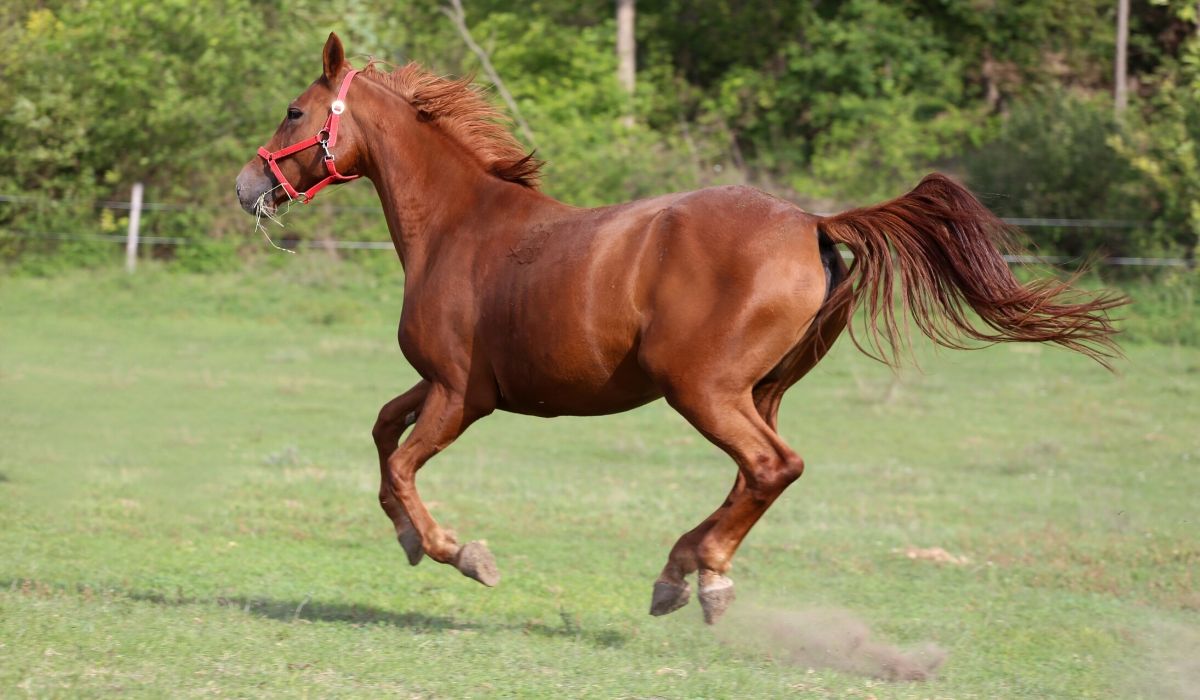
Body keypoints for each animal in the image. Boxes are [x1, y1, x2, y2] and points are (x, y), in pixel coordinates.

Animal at [236, 33, 1125, 624]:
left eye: (294, 110)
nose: (247, 186)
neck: (461, 225)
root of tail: (812, 222)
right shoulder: (441, 385)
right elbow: (382, 433)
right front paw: (412, 541)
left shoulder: (462, 395)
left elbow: (400, 464)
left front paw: (461, 553)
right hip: (755, 390)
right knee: (756, 475)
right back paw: (691, 572)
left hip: (702, 389)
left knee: (771, 467)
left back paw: (697, 578)